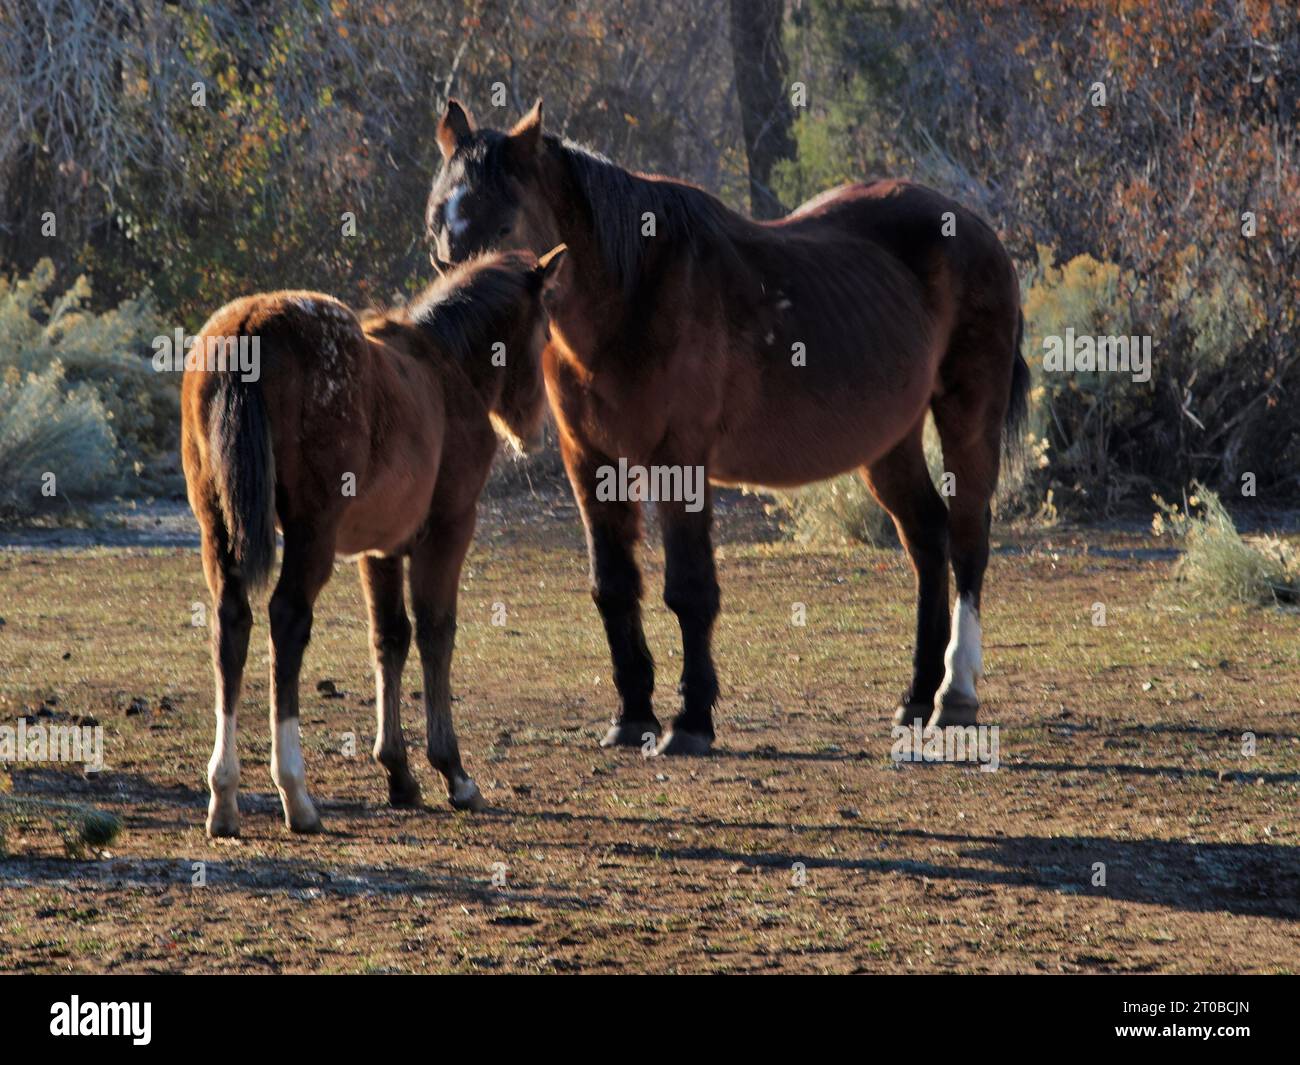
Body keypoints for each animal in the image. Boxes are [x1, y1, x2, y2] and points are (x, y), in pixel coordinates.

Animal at [181, 247, 564, 836]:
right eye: (543, 332)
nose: (537, 431)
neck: (444, 368)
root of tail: (249, 325)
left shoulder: (378, 548)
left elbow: (389, 638)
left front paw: (399, 773)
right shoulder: (449, 528)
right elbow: (435, 632)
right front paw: (453, 774)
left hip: (217, 526)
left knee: (232, 623)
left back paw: (223, 796)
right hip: (312, 531)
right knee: (287, 619)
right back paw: (295, 793)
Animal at [425, 99, 1028, 757]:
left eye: (505, 228)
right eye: (437, 236)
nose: (462, 341)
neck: (631, 295)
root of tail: (976, 227)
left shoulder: (681, 460)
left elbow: (689, 589)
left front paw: (690, 722)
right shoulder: (590, 460)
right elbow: (613, 584)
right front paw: (632, 717)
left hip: (969, 412)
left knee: (967, 539)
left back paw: (954, 696)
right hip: (890, 443)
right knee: (927, 538)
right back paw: (917, 696)